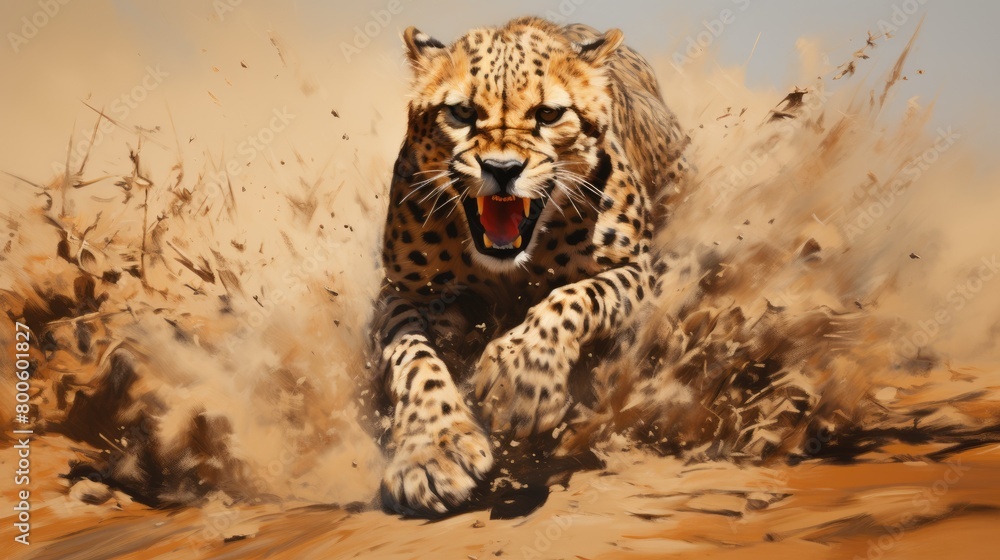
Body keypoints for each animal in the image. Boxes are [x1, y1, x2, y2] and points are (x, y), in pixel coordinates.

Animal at [368, 16, 688, 517]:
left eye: (548, 115)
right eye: (462, 113)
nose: (502, 169)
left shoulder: (638, 268)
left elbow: (575, 297)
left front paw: (519, 380)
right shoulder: (404, 292)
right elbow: (413, 358)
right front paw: (433, 452)